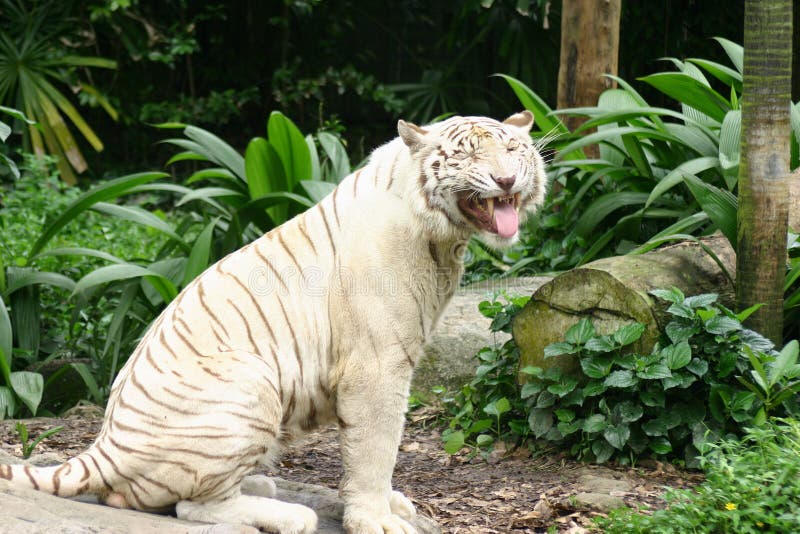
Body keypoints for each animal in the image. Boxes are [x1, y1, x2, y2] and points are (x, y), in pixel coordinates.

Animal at [0, 111, 546, 533]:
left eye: (512, 148)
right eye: (468, 157)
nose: (505, 181)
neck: (442, 240)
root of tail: (104, 445)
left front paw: (390, 504)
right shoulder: (376, 367)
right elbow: (376, 447)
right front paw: (376, 519)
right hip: (251, 379)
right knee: (193, 506)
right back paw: (289, 513)